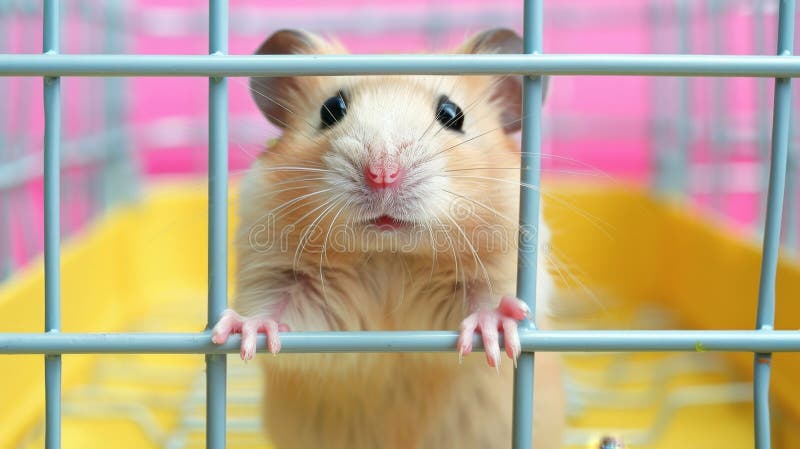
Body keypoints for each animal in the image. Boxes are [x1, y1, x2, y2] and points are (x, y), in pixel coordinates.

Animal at [212, 28, 564, 449]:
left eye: (452, 115)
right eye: (331, 110)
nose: (382, 173)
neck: (388, 255)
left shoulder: (502, 263)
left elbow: (486, 299)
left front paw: (495, 331)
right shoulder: (281, 273)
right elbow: (273, 307)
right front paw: (245, 332)